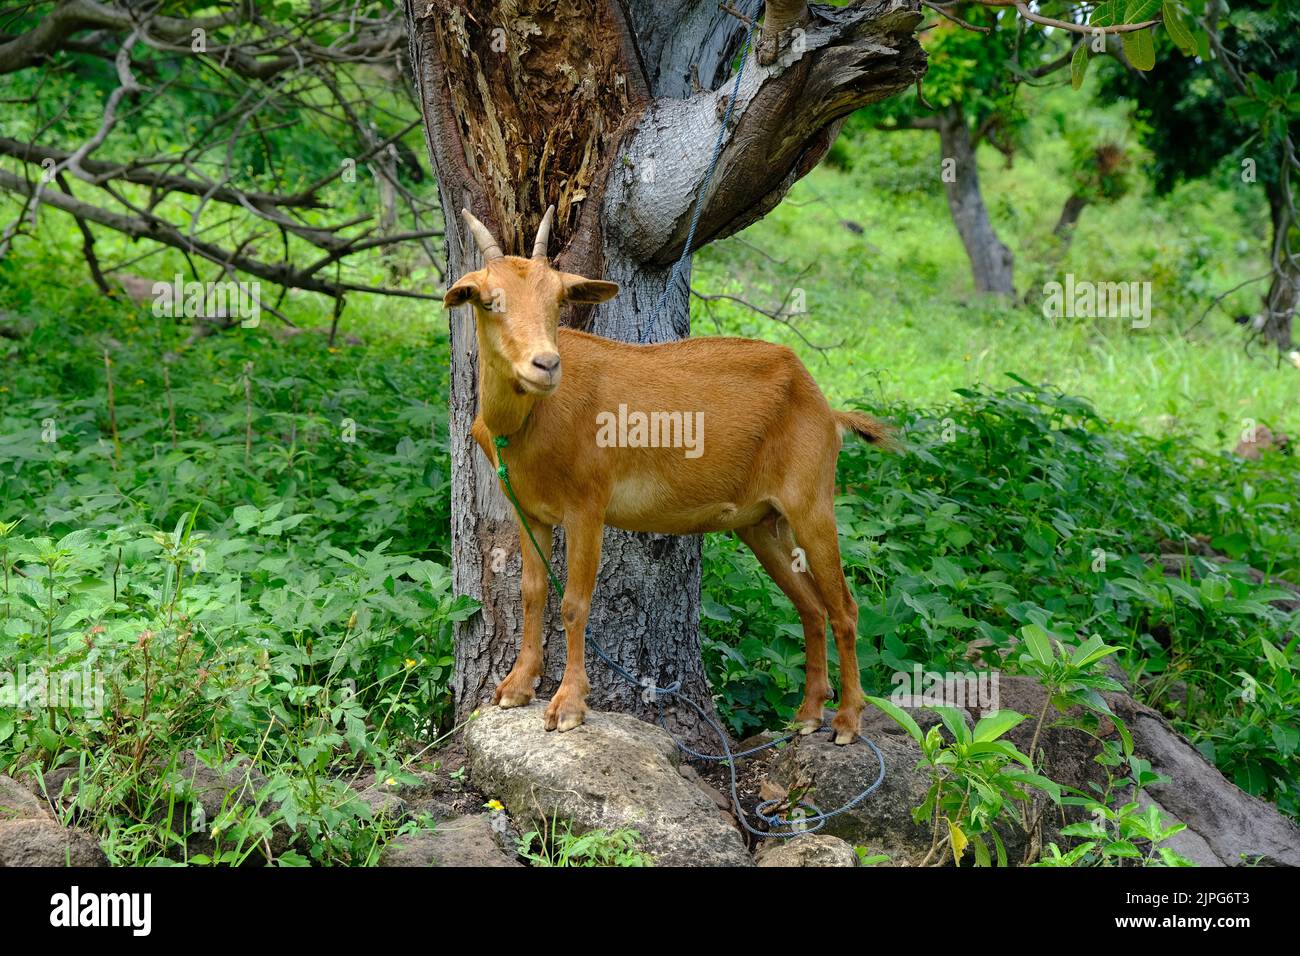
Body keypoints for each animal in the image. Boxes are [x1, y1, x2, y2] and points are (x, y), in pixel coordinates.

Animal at [444, 206, 896, 744]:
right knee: (810, 606)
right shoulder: (528, 510)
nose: (546, 364)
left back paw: (846, 720)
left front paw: (568, 706)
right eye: (490, 301)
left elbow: (574, 602)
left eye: (558, 301)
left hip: (811, 502)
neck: (529, 421)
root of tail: (826, 408)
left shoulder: (588, 506)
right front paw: (516, 687)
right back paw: (807, 714)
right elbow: (532, 594)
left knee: (845, 607)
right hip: (762, 523)